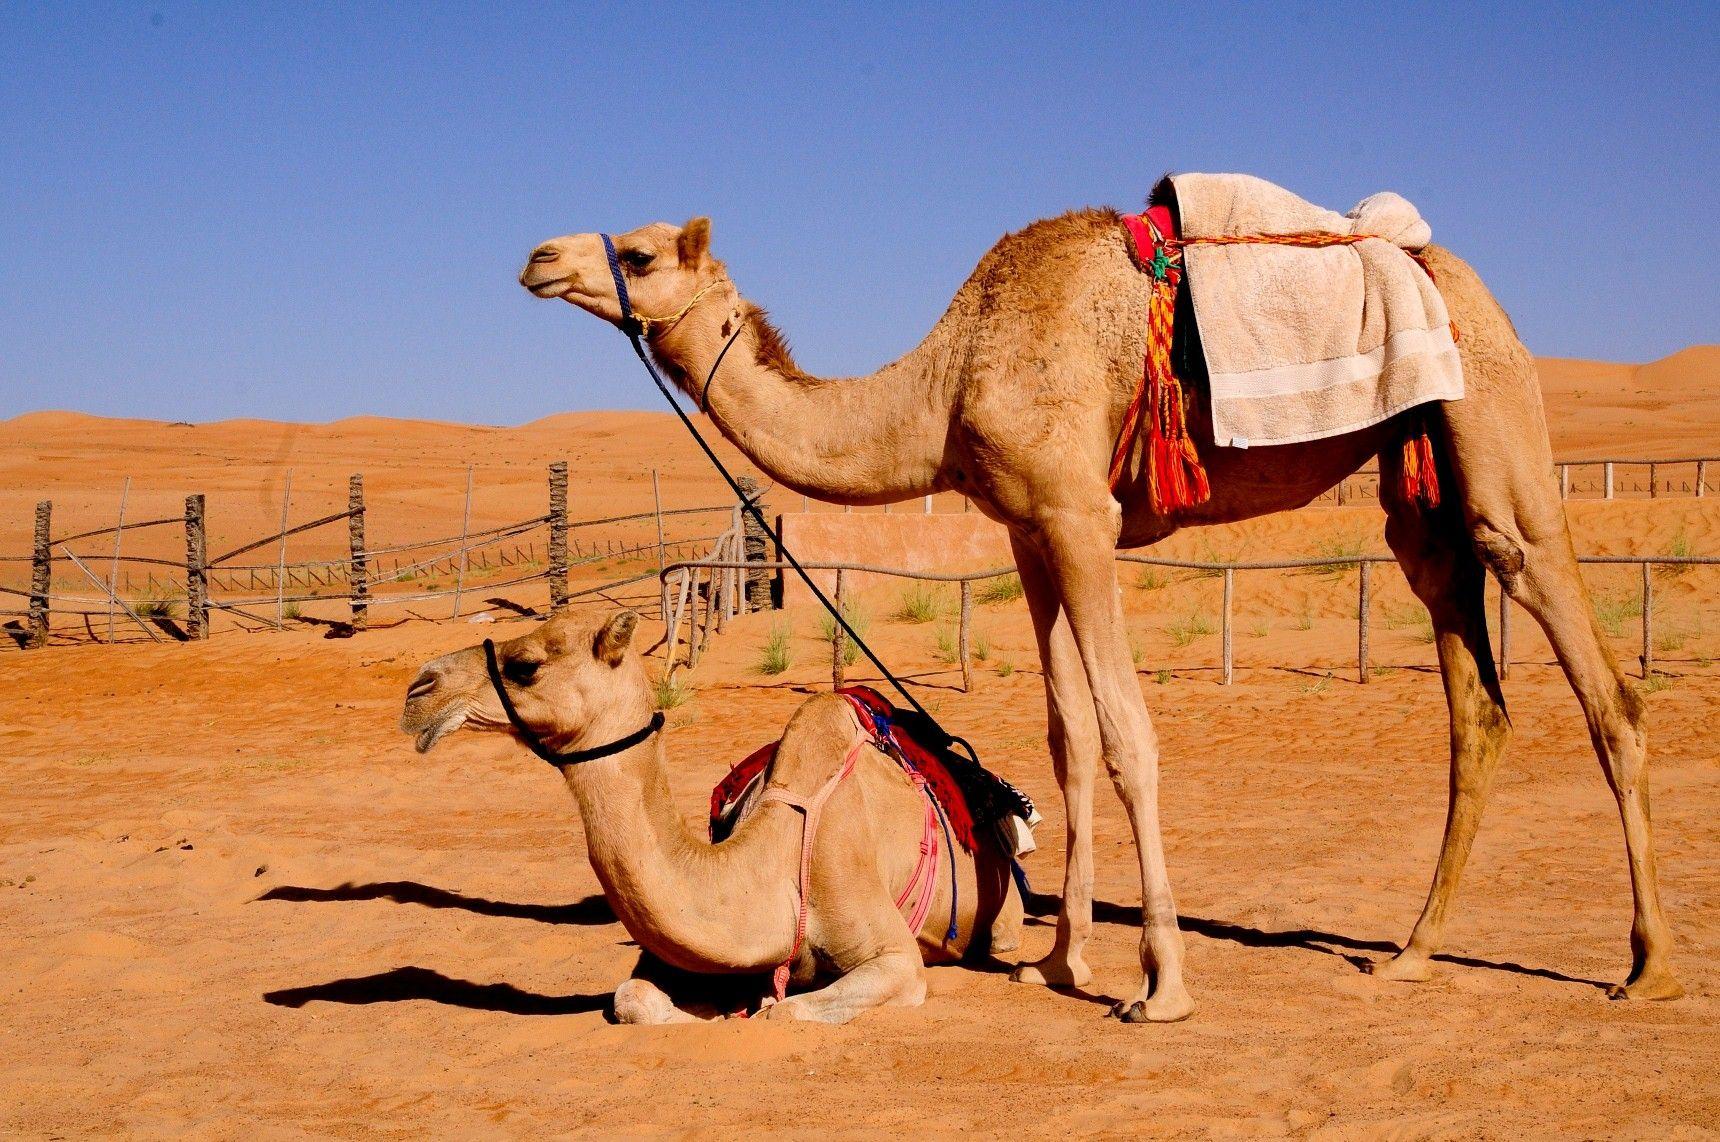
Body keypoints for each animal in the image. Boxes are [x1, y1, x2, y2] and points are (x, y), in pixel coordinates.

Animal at [399, 609, 1024, 1024]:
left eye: (525, 665)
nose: (418, 689)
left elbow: (782, 1012)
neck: (773, 863)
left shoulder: (894, 957)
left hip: (1002, 912)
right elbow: (631, 999)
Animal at [517, 201, 1682, 1020]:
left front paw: (1159, 983)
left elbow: (1127, 732)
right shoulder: (1027, 530)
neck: (945, 385)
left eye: (641, 251)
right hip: (1419, 491)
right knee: (1475, 701)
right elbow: (1067, 733)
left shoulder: (1082, 515)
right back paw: (1411, 952)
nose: (539, 257)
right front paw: (1058, 957)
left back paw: (1648, 967)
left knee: (1601, 681)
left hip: (1495, 428)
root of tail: (1470, 284)